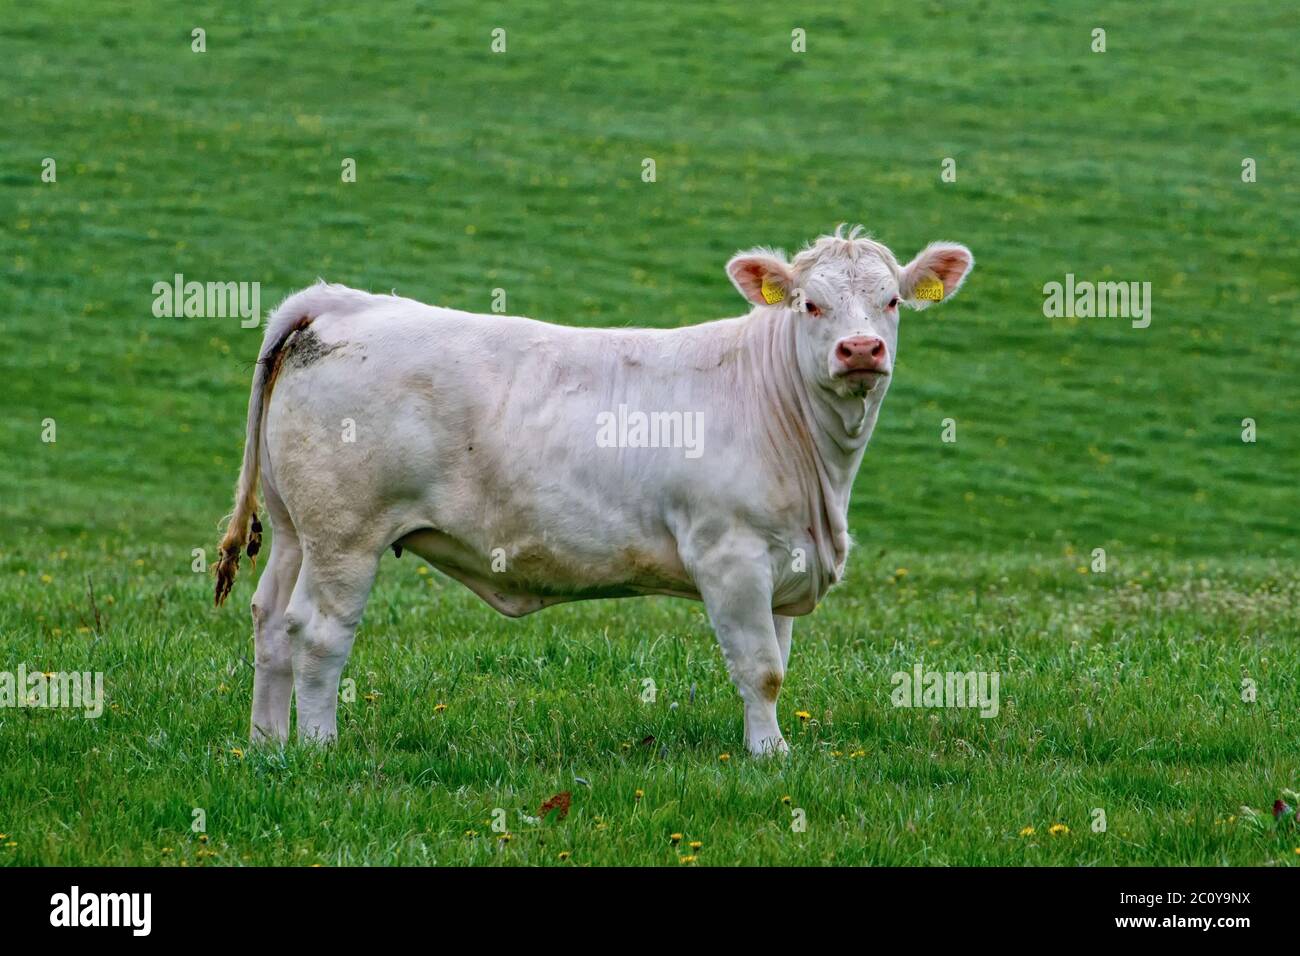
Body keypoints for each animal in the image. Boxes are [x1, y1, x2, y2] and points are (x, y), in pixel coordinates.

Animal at [214, 225, 973, 755]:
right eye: (812, 305)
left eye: (891, 301)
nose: (861, 350)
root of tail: (343, 305)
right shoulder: (729, 553)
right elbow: (761, 669)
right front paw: (772, 757)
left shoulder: (783, 556)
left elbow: (777, 662)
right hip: (346, 534)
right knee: (317, 632)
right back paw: (319, 748)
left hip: (294, 529)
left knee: (269, 620)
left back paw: (268, 746)